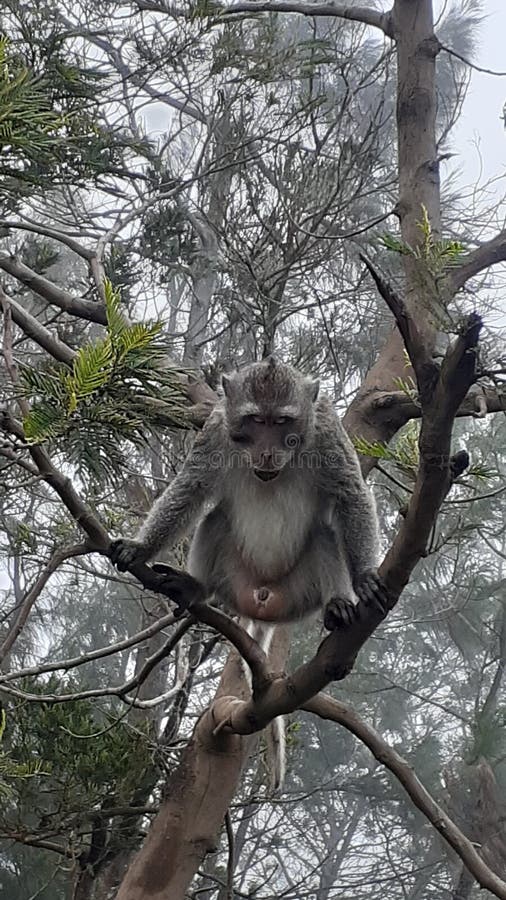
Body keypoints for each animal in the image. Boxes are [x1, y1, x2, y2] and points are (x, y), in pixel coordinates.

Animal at [111, 356, 386, 632]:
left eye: (281, 421)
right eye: (255, 419)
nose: (267, 453)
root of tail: (262, 599)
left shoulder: (327, 429)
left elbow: (349, 493)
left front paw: (363, 576)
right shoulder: (215, 429)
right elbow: (191, 488)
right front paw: (141, 548)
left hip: (300, 594)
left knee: (324, 533)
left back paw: (336, 606)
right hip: (233, 582)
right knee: (215, 519)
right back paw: (196, 587)